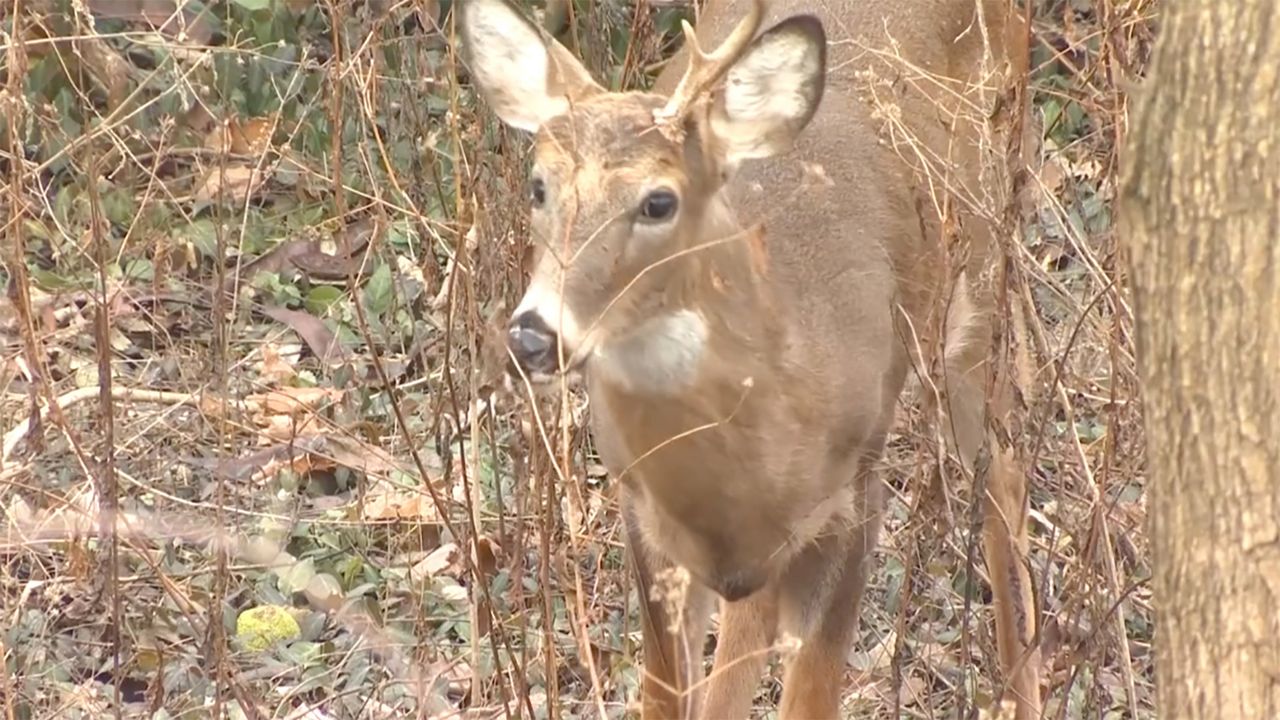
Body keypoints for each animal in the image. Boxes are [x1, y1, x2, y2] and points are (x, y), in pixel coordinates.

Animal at [459, 0, 1038, 716]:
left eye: (658, 200)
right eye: (539, 186)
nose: (533, 335)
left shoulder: (853, 501)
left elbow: (809, 695)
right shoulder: (645, 519)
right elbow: (669, 693)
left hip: (983, 265)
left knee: (1005, 481)